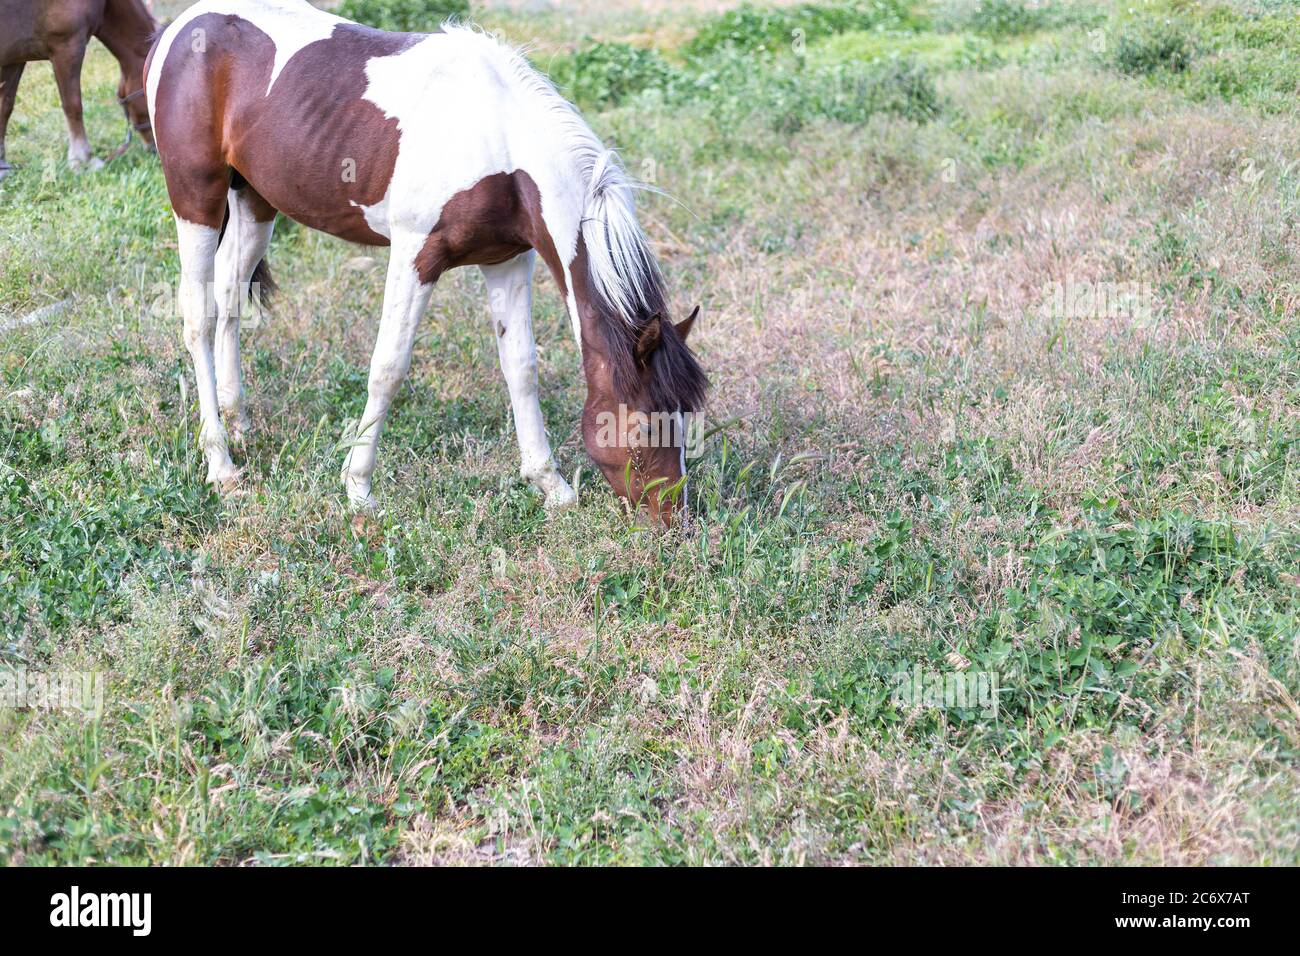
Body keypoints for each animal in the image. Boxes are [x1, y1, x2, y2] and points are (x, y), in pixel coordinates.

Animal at [0, 0, 157, 178]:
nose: (155, 148)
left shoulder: (15, 57)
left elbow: (5, 107)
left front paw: (2, 165)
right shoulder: (68, 47)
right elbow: (73, 106)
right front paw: (83, 159)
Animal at [145, 0, 708, 524]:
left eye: (683, 416)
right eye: (646, 421)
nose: (674, 518)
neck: (498, 139)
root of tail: (178, 27)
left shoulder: (508, 261)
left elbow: (521, 367)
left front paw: (550, 485)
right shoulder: (416, 253)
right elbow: (388, 367)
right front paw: (358, 488)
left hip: (256, 201)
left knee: (229, 301)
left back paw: (237, 421)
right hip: (197, 199)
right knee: (199, 317)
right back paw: (220, 462)